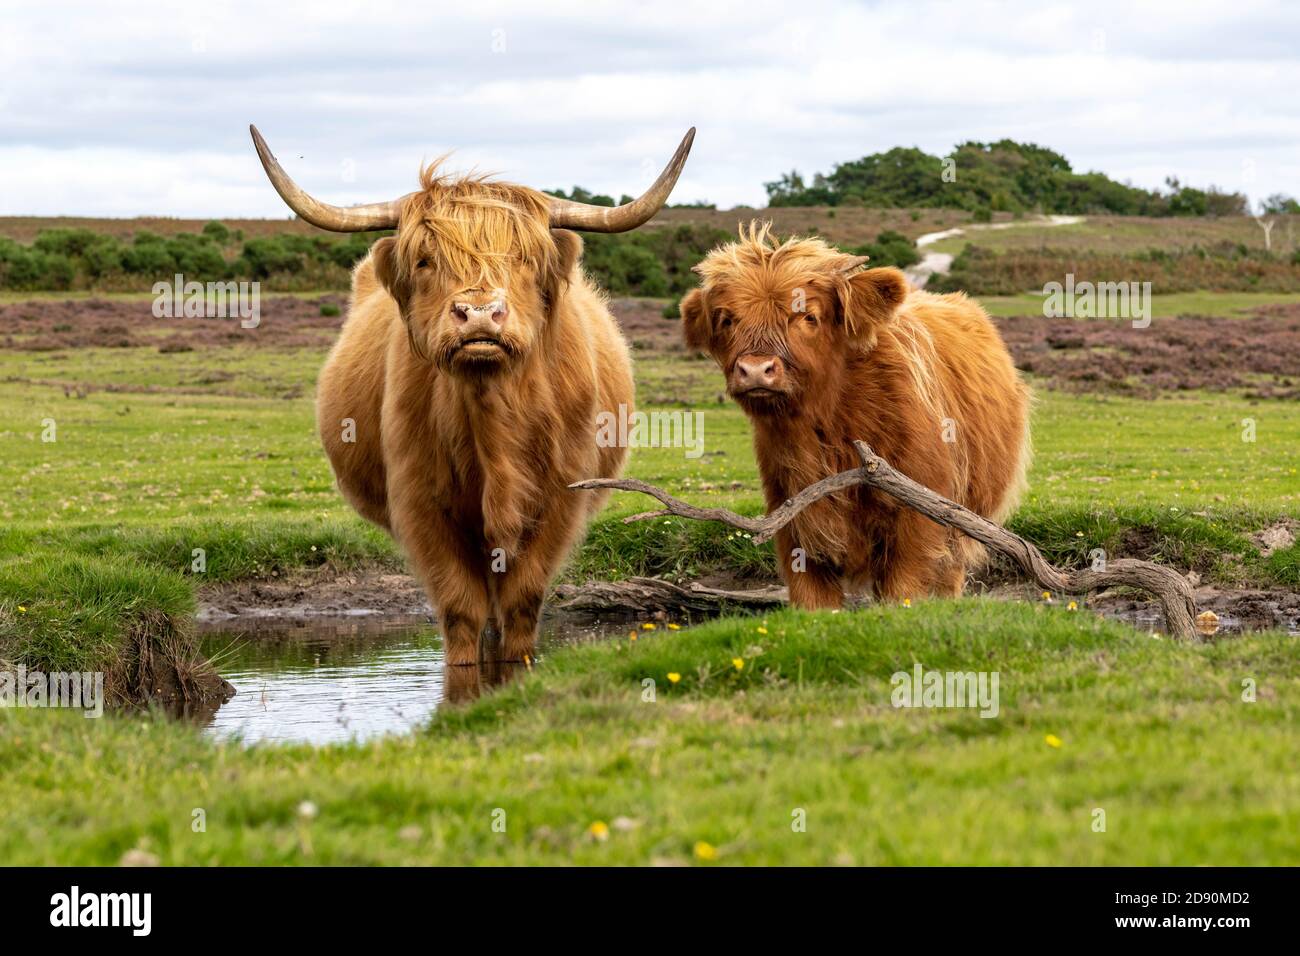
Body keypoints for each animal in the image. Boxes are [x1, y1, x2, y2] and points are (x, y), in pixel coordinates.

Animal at [250, 125, 695, 665]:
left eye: (524, 257)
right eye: (425, 259)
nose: (479, 313)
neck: (491, 418)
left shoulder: (559, 501)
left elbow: (522, 604)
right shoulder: (422, 506)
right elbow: (461, 609)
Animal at [679, 222, 1030, 609]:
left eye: (808, 316)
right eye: (727, 319)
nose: (756, 370)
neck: (828, 427)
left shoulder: (918, 515)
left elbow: (902, 589)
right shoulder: (790, 514)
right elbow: (811, 596)